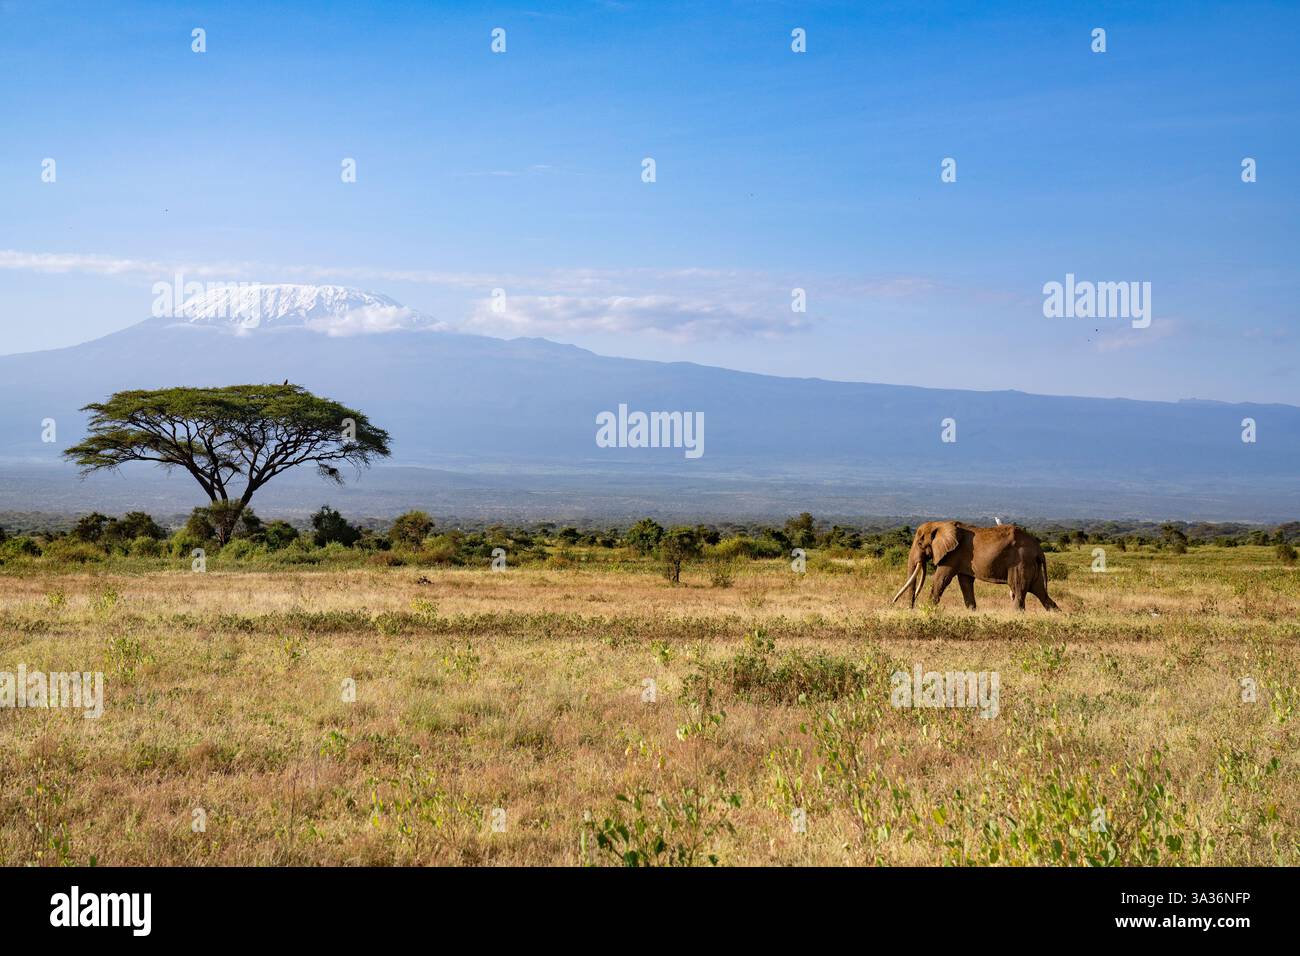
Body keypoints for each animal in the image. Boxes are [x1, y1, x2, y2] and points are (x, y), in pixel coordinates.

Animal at [890, 521, 1059, 611]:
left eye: (920, 543)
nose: (911, 608)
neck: (939, 524)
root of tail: (1039, 550)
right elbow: (965, 583)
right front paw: (972, 611)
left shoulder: (952, 554)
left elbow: (941, 579)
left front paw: (928, 610)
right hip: (1031, 565)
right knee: (1040, 592)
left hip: (1021, 563)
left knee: (1018, 589)